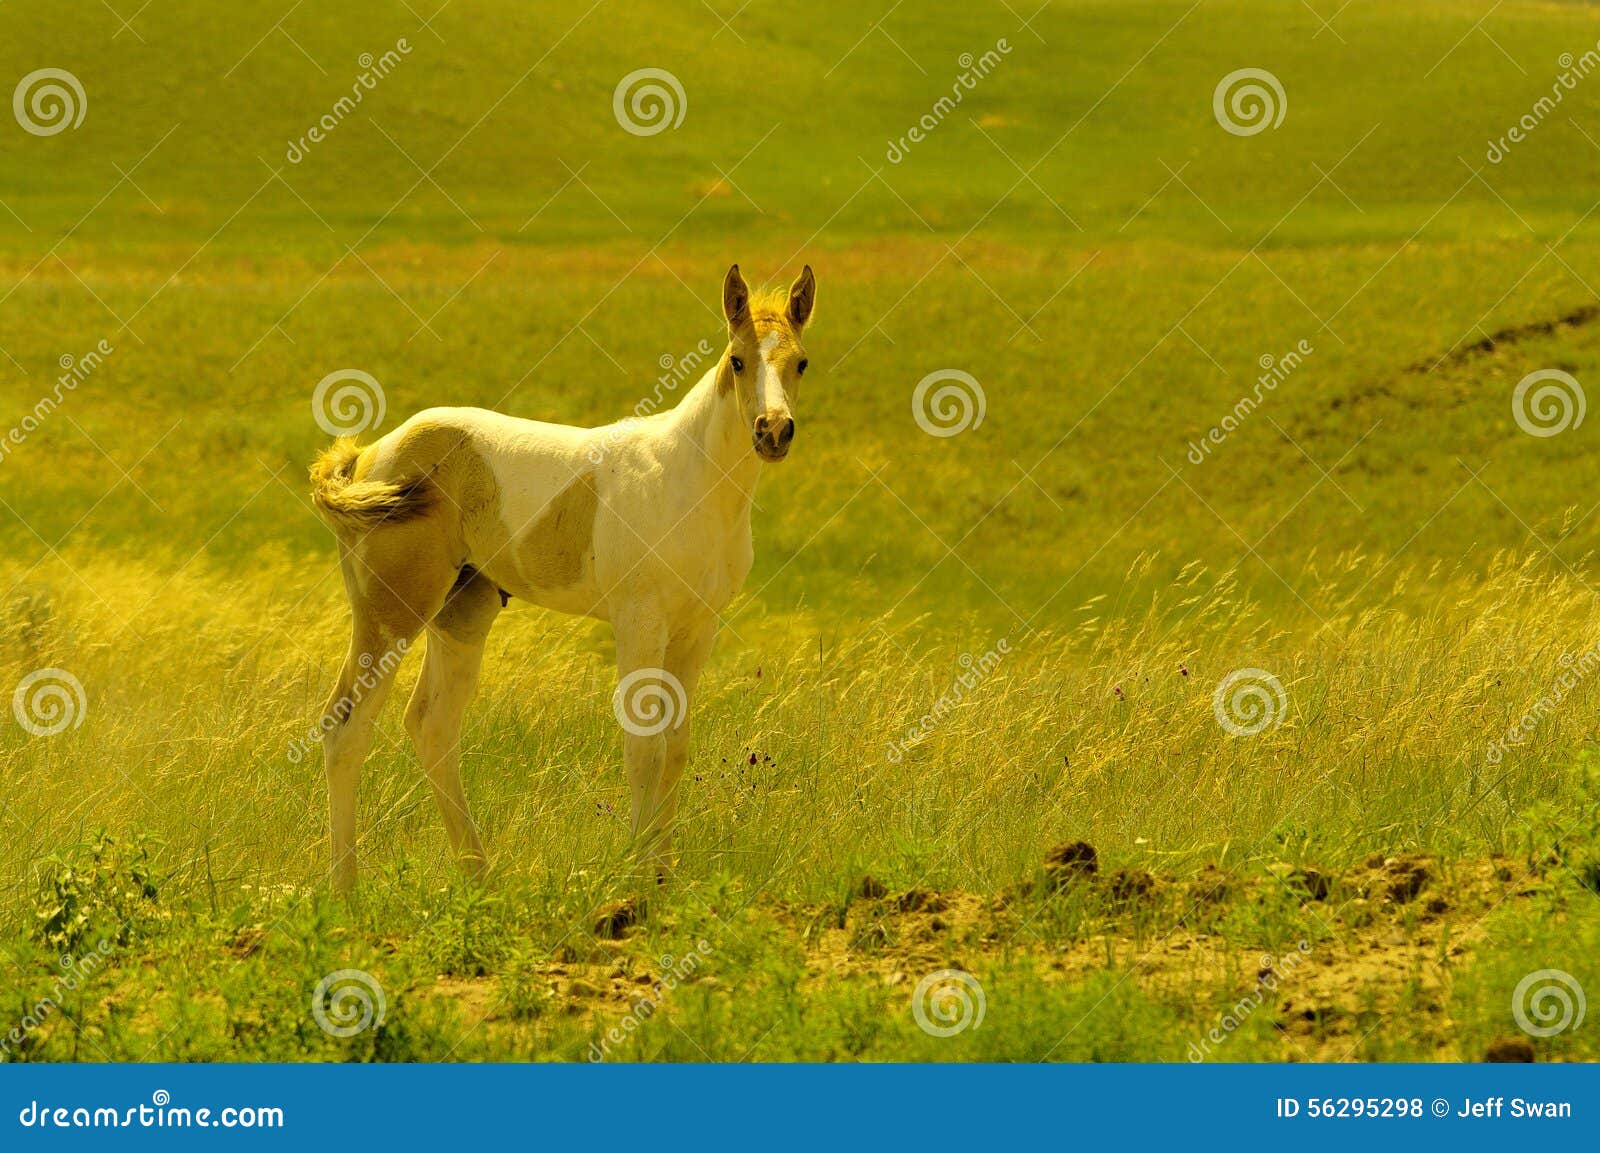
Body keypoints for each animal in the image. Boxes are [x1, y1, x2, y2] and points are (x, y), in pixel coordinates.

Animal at [308, 264, 815, 893]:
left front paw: (662, 878)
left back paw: (480, 878)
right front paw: (634, 880)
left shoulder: (698, 627)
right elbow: (643, 747)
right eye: (739, 360)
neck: (692, 478)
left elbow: (676, 747)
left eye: (801, 362)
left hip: (462, 614)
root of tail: (369, 459)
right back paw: (347, 894)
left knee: (431, 727)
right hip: (392, 613)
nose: (773, 431)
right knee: (345, 728)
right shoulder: (639, 621)